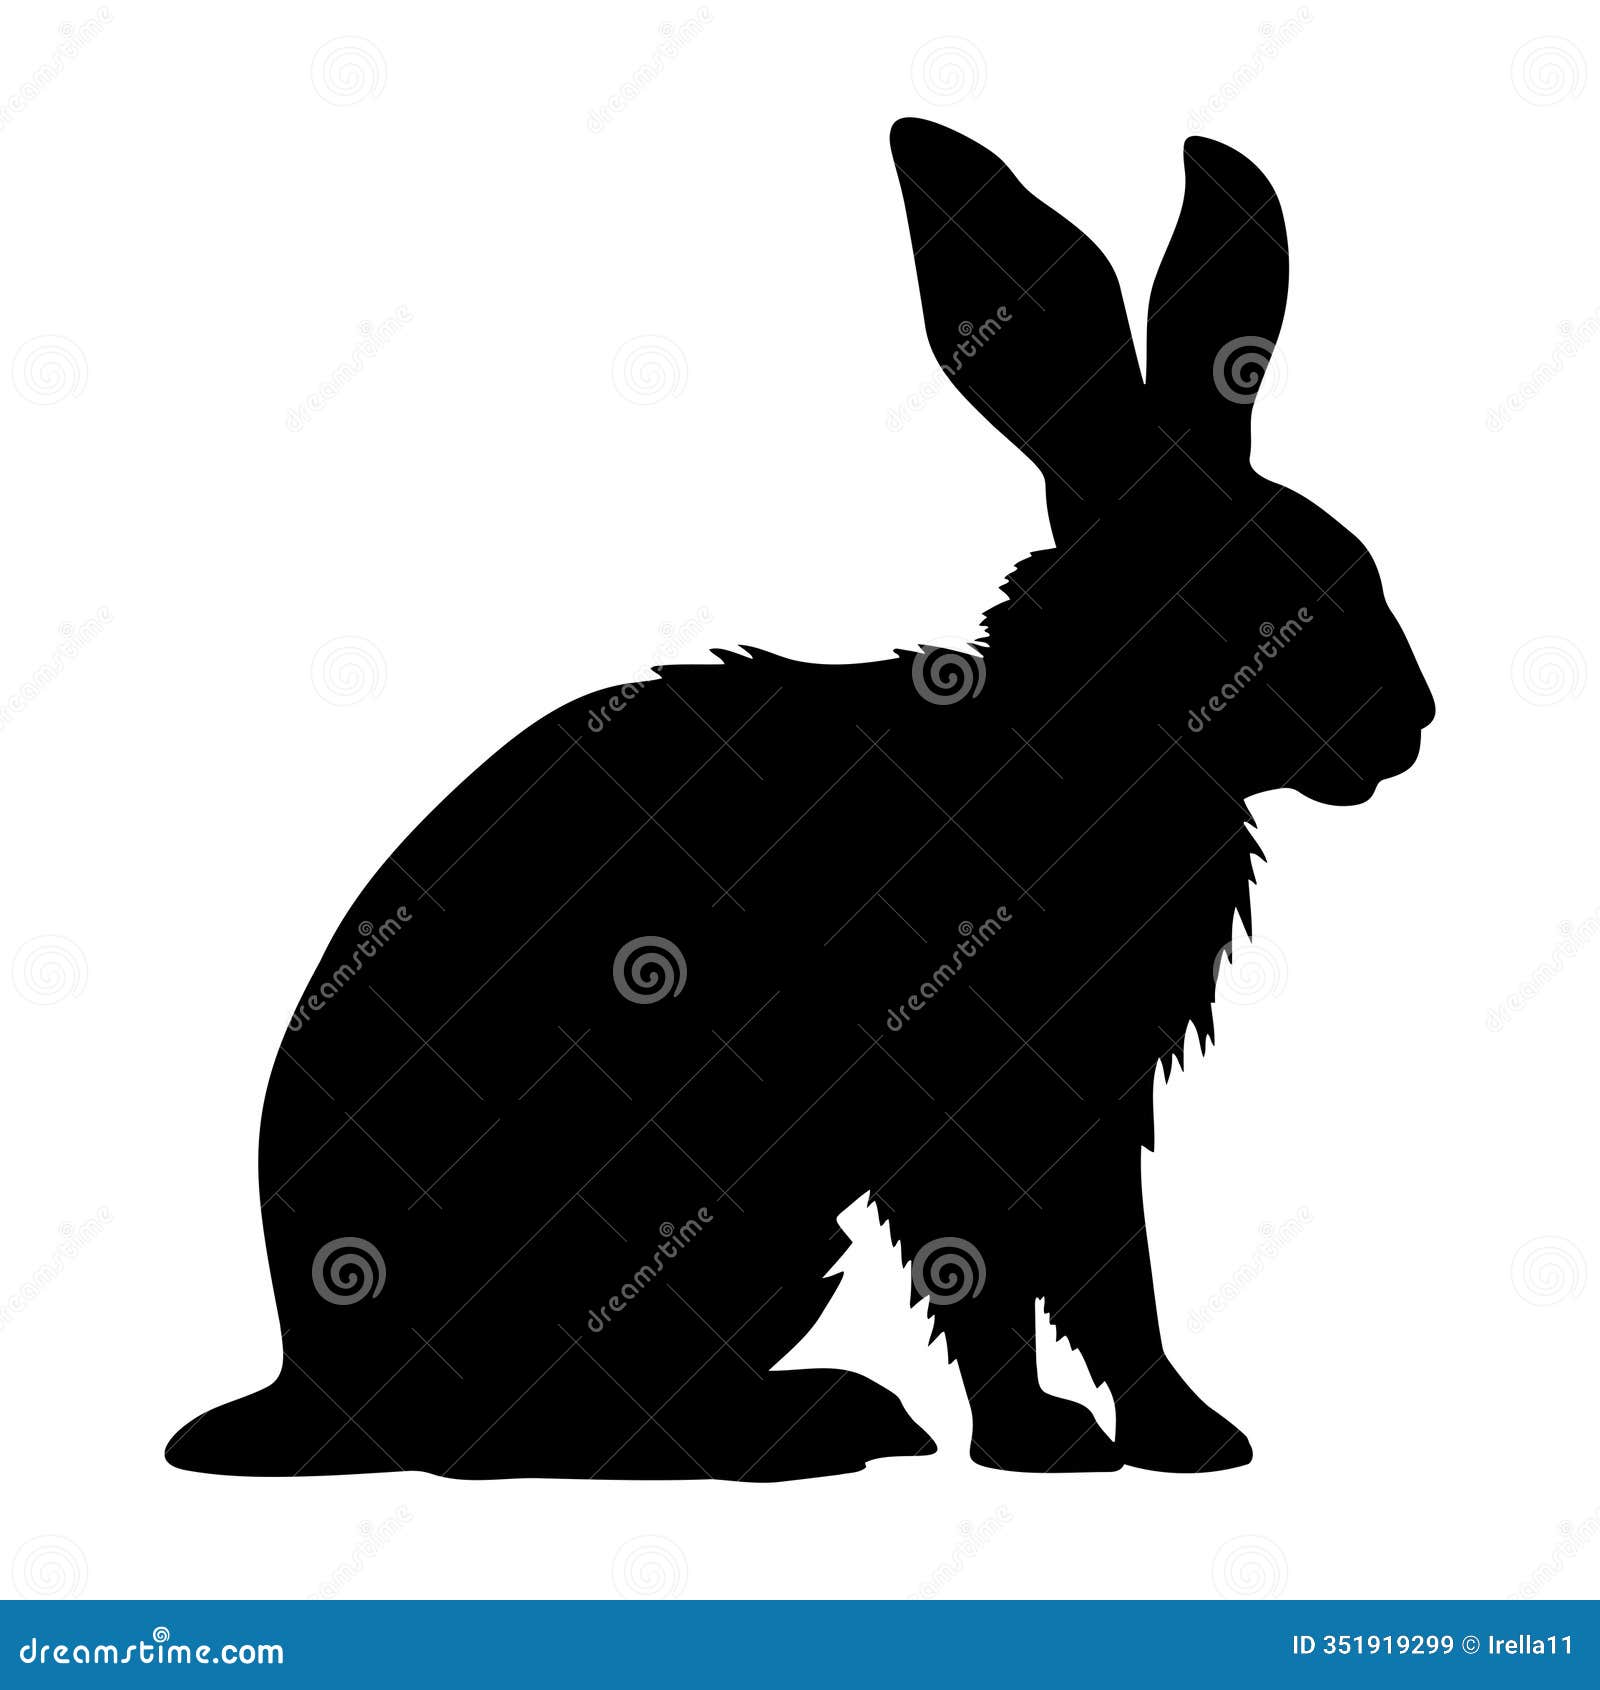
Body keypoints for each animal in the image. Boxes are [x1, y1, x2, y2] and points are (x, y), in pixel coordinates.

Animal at [167, 117, 1433, 1481]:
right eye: (1252, 596)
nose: (1413, 721)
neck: (1078, 739)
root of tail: (312, 1383)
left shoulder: (1087, 1116)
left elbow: (1109, 1277)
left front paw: (1181, 1435)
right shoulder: (971, 1104)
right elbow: (1005, 1277)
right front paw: (1048, 1443)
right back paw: (821, 1422)